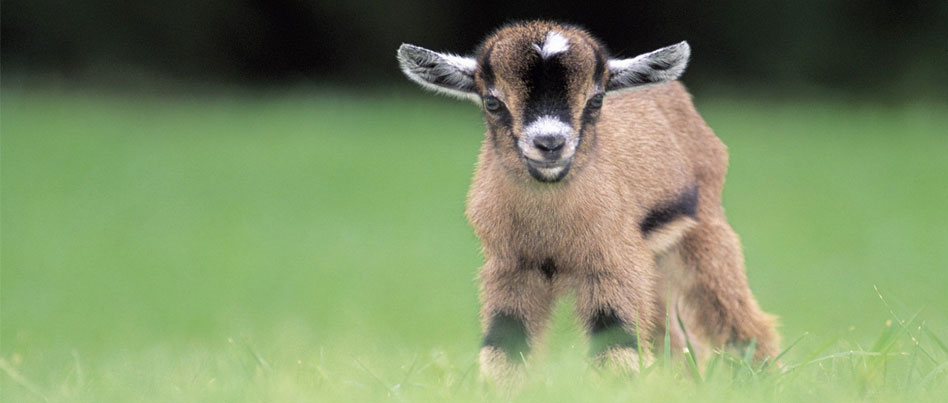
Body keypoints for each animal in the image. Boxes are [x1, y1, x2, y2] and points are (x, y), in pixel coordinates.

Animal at [397, 21, 779, 380]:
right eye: (492, 102)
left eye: (596, 100)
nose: (550, 144)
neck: (549, 231)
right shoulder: (512, 269)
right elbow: (504, 347)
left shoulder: (613, 264)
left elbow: (617, 347)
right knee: (674, 341)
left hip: (702, 235)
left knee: (742, 323)